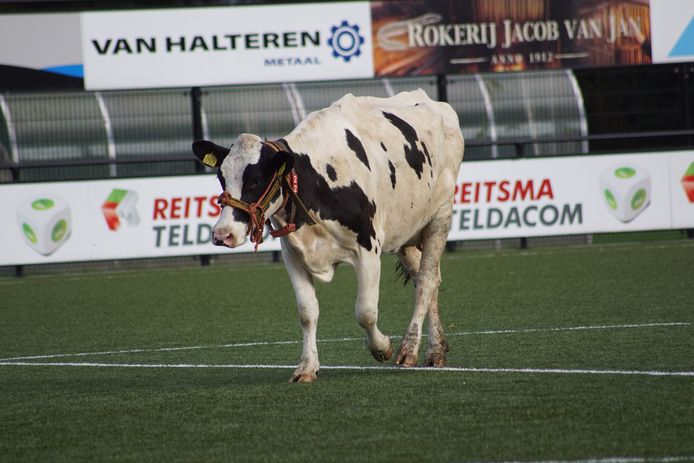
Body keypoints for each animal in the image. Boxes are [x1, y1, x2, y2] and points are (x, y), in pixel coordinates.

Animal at [192, 89, 464, 383]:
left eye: (255, 180)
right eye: (221, 177)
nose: (223, 234)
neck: (317, 181)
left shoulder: (368, 248)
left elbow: (366, 312)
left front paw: (382, 347)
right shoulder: (292, 254)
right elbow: (307, 312)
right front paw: (307, 367)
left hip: (439, 217)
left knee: (426, 281)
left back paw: (410, 348)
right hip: (406, 230)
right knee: (427, 281)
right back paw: (436, 350)